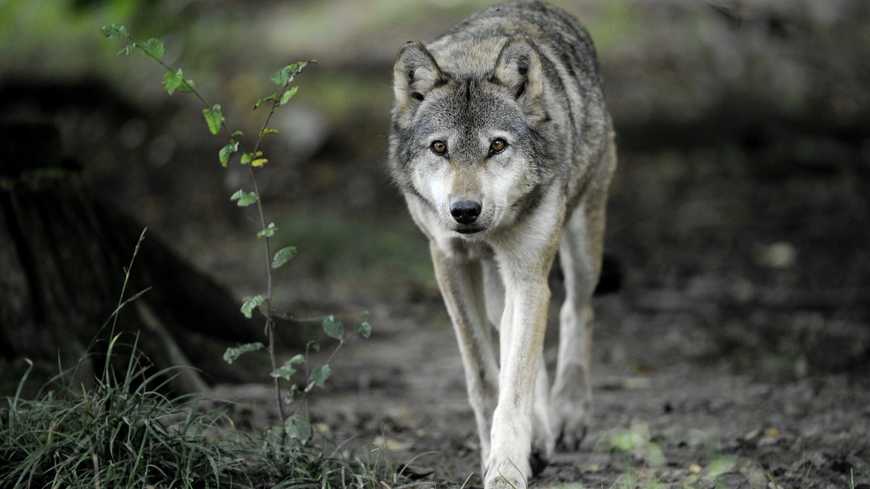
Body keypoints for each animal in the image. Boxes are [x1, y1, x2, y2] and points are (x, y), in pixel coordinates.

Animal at [388, 2, 616, 488]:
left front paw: (507, 468)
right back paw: (543, 436)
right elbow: (485, 376)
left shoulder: (527, 273)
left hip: (580, 245)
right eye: (440, 148)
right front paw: (504, 453)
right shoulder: (449, 262)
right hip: (496, 284)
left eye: (497, 145)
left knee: (575, 309)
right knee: (518, 332)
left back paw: (569, 417)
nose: (465, 211)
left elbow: (514, 385)